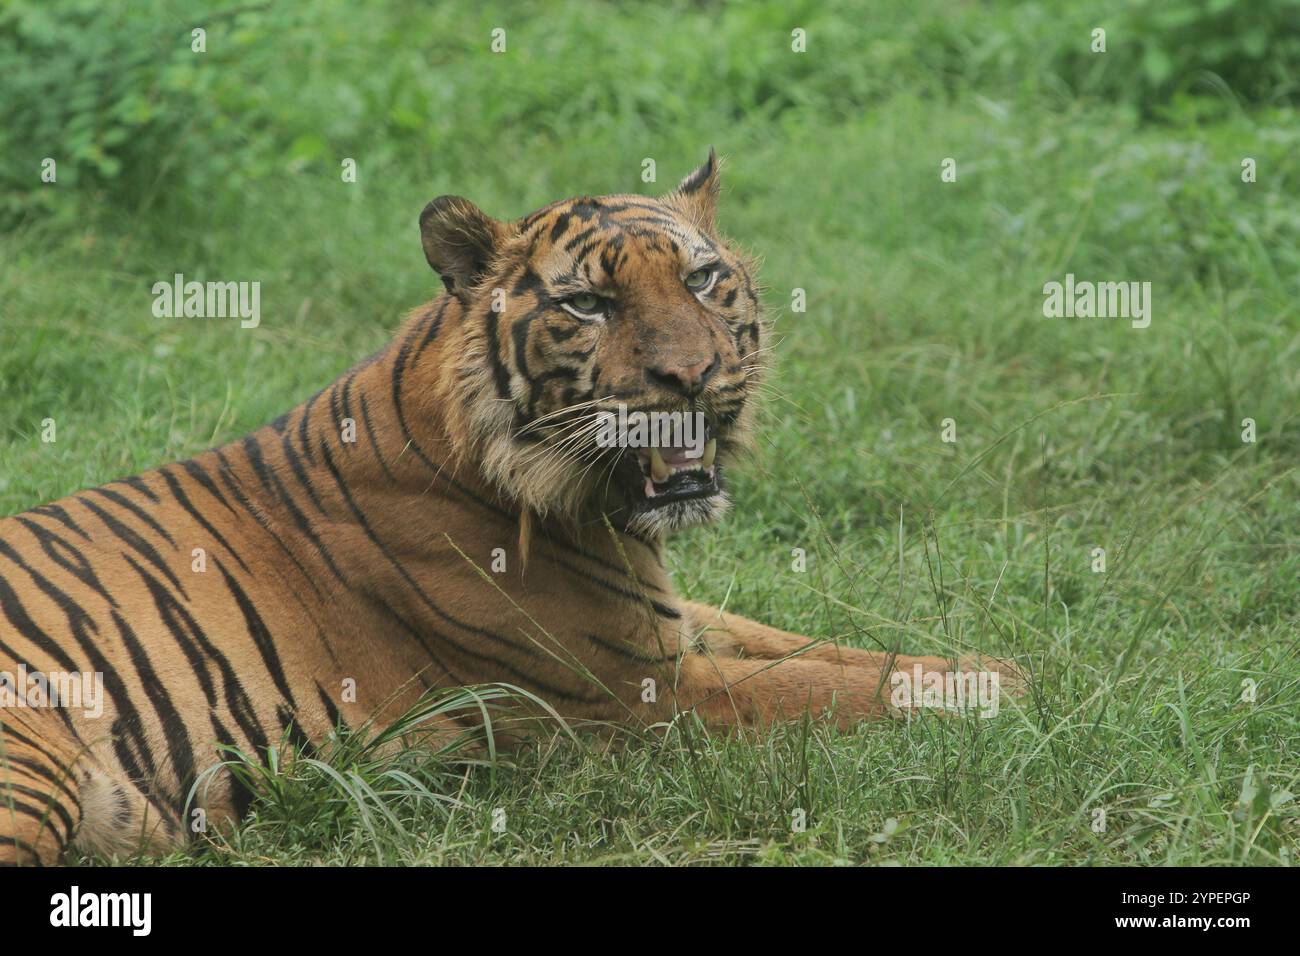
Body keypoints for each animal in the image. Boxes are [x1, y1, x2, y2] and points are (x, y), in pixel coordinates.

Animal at [0, 153, 1023, 864]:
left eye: (700, 279)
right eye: (589, 302)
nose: (691, 374)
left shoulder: (670, 626)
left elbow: (831, 649)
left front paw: (1000, 665)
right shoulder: (641, 697)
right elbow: (833, 686)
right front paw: (1010, 693)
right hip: (32, 767)